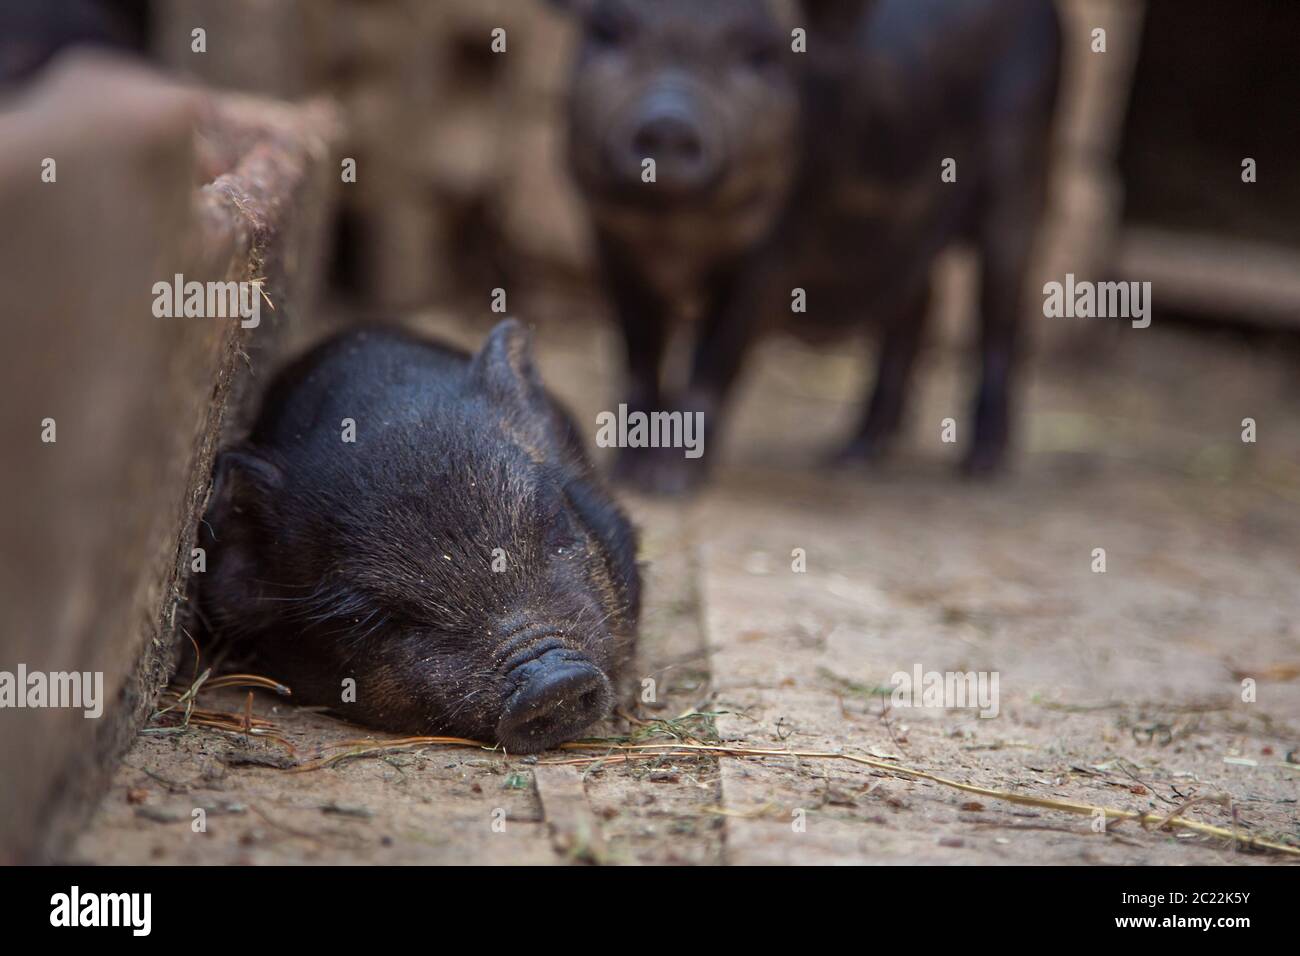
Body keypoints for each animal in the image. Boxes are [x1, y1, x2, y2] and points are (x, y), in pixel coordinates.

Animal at [551, 0, 1061, 492]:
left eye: (758, 52)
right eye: (608, 30)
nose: (670, 121)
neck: (676, 237)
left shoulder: (772, 253)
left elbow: (715, 358)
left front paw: (667, 485)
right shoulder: (611, 247)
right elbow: (638, 355)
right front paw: (624, 475)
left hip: (1023, 166)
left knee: (1000, 310)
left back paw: (980, 466)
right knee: (918, 303)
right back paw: (851, 455)